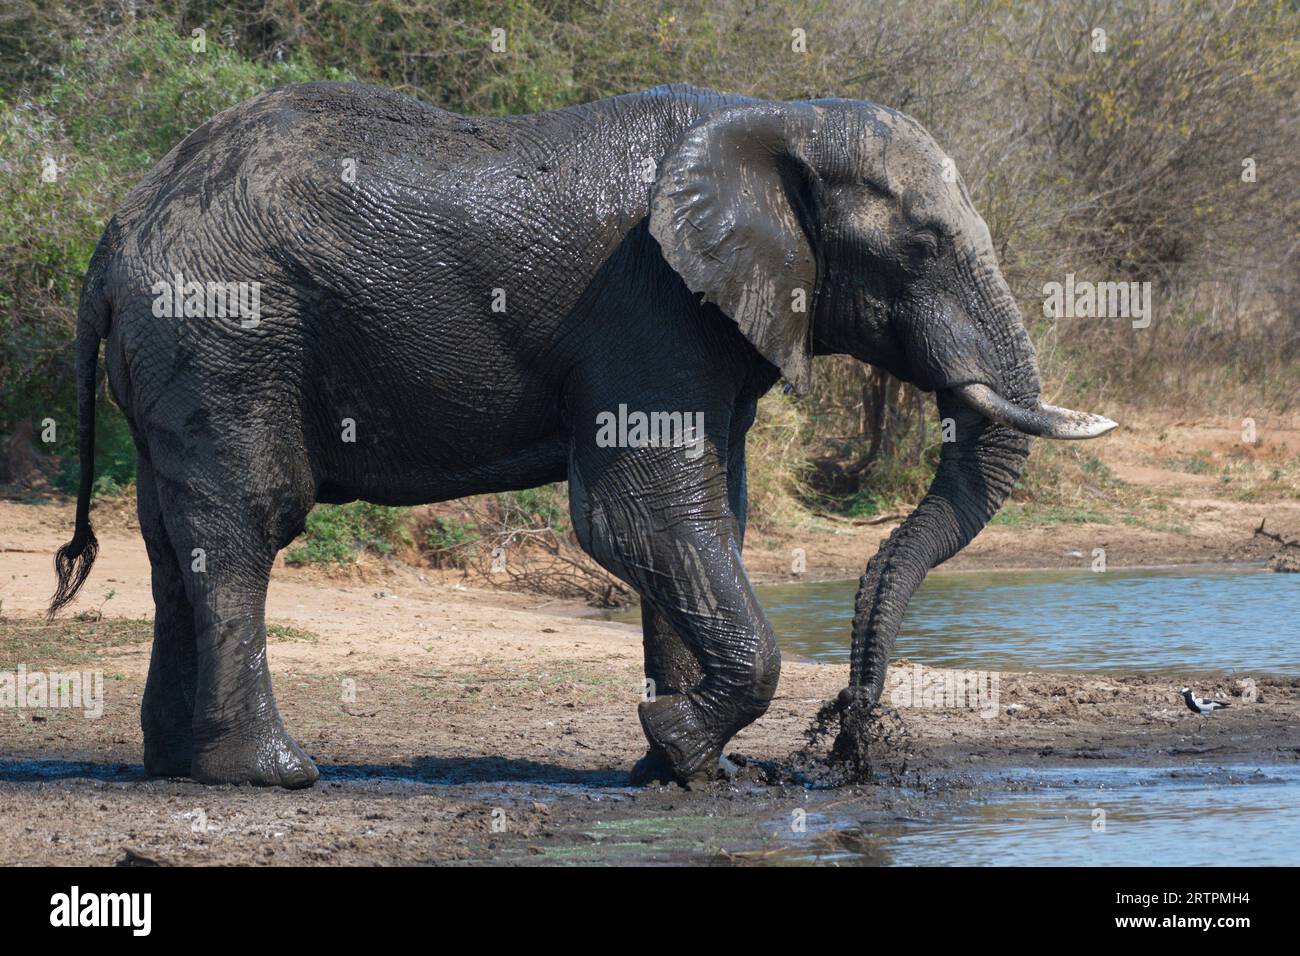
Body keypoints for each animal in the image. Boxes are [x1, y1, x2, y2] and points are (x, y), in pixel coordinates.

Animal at [49, 82, 1115, 788]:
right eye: (921, 247)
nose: (850, 743)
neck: (771, 117)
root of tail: (114, 233)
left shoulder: (701, 318)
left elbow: (706, 520)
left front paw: (684, 773)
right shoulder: (647, 303)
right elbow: (641, 515)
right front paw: (679, 740)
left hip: (185, 347)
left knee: (171, 541)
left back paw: (172, 766)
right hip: (228, 327)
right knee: (247, 525)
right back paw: (272, 773)